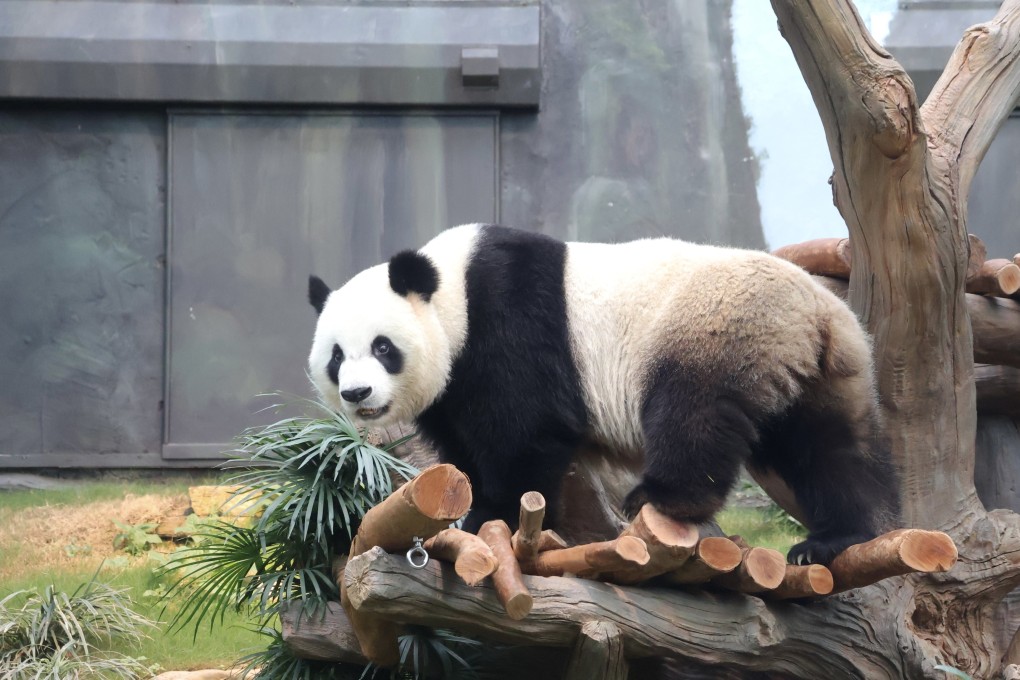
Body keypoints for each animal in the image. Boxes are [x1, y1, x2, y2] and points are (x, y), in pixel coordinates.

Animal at [307, 224, 899, 565]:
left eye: (383, 347)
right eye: (336, 355)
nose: (358, 392)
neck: (454, 292)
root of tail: (820, 315)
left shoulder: (508, 323)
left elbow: (526, 434)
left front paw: (492, 519)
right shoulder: (453, 388)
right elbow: (463, 450)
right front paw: (466, 507)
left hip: (721, 331)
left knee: (694, 415)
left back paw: (665, 497)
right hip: (816, 376)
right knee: (826, 451)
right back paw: (835, 538)